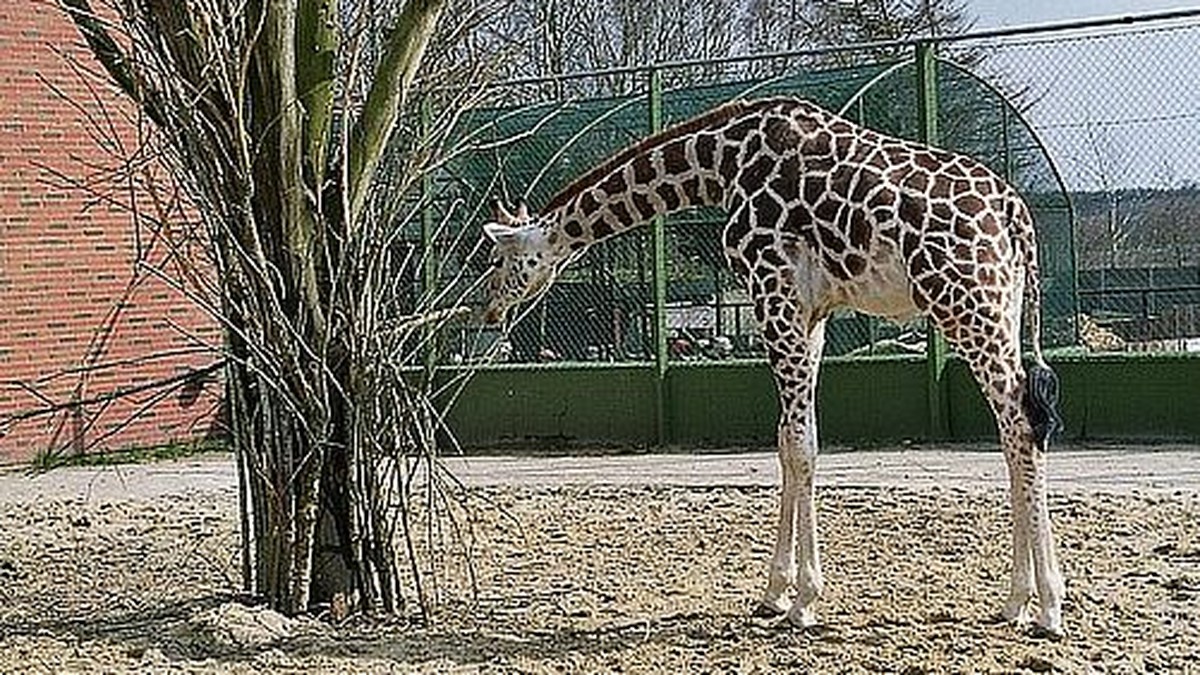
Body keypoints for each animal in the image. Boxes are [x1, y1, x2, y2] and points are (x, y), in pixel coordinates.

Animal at [480, 97, 1067, 637]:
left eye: (498, 260)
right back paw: (1015, 603)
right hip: (1000, 307)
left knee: (1021, 425)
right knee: (1015, 431)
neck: (720, 163)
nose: (486, 310)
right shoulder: (813, 311)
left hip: (965, 305)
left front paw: (804, 600)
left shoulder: (773, 292)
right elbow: (788, 441)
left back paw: (1048, 609)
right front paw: (774, 594)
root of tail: (1014, 212)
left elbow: (801, 444)